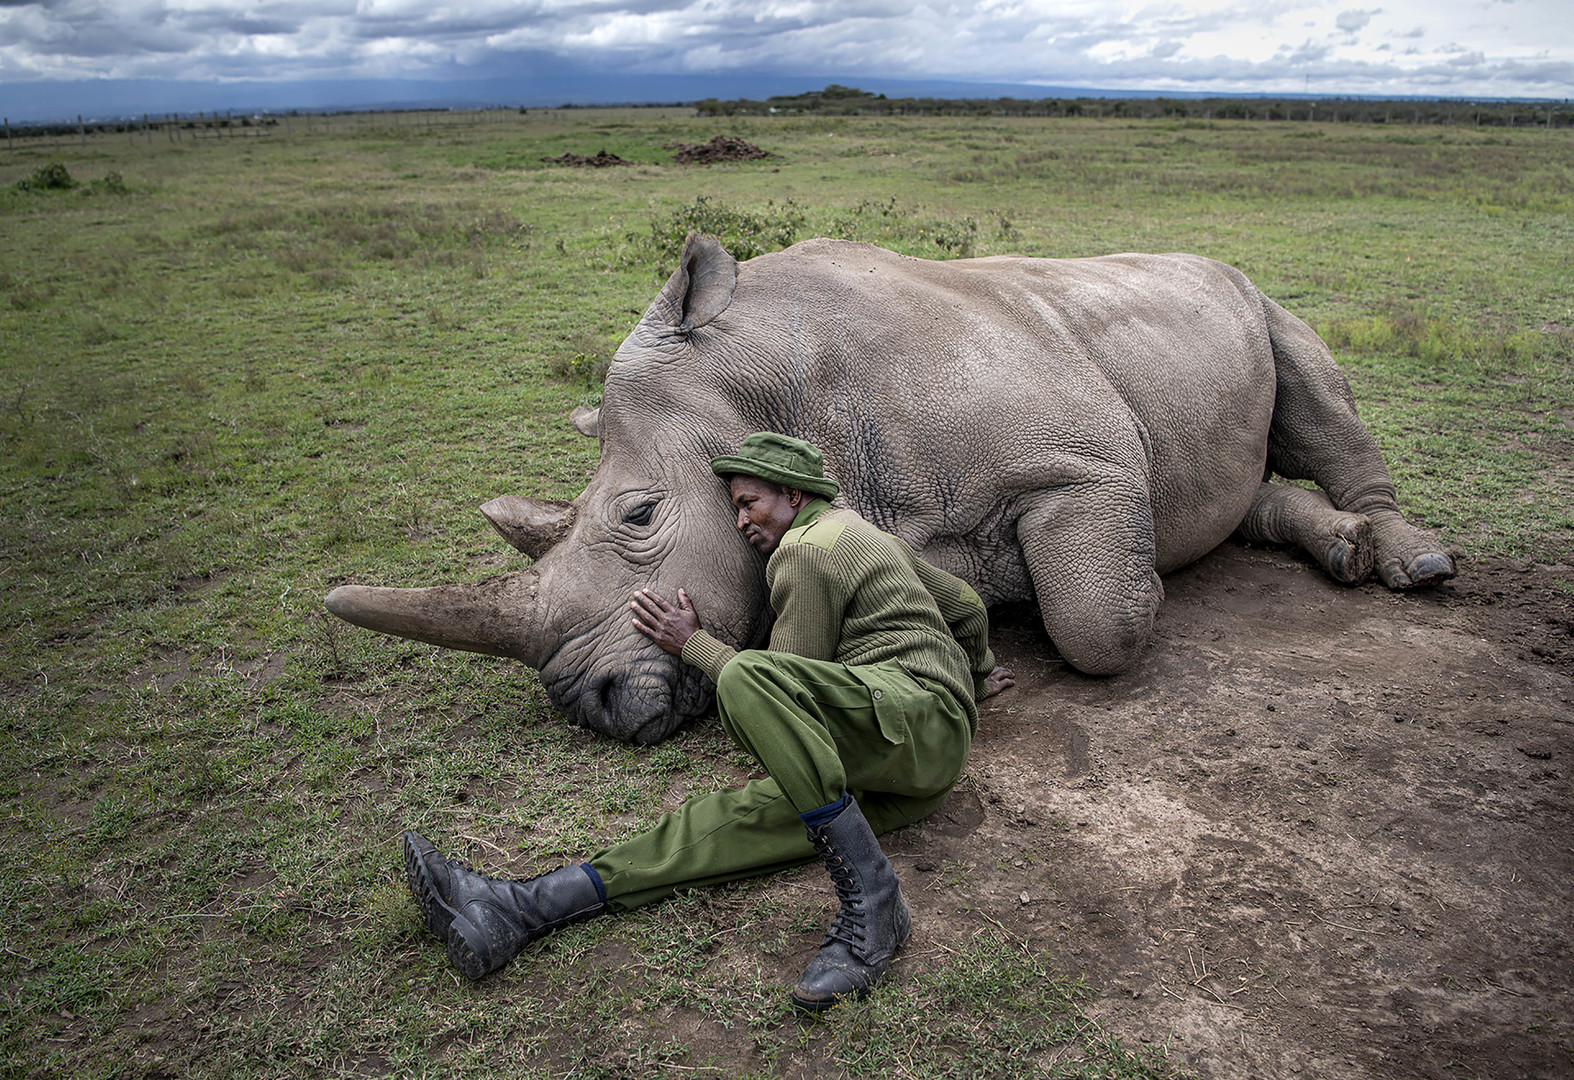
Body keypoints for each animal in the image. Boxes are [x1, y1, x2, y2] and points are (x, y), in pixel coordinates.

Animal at [325, 235, 1454, 744]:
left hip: (1251, 293)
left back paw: (1415, 565)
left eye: (639, 516)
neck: (759, 372)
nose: (592, 706)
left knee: (1315, 386)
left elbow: (1096, 622)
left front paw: (1136, 597)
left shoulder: (1084, 461)